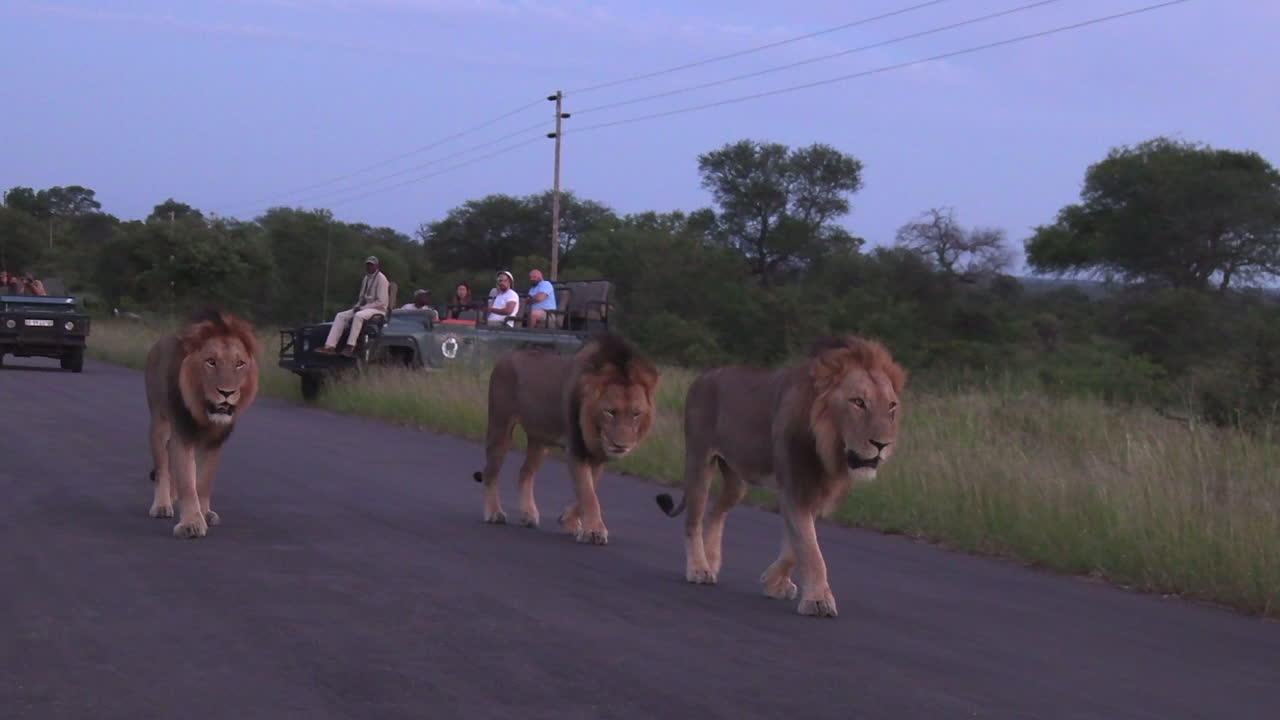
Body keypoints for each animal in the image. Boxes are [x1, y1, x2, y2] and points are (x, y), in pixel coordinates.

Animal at [144, 305, 261, 539]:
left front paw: (204, 513)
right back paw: (162, 505)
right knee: (162, 468)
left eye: (239, 364)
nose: (227, 393)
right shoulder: (183, 435)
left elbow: (204, 481)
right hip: (160, 423)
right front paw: (191, 523)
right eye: (211, 361)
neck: (205, 413)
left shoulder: (215, 442)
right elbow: (188, 483)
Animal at [472, 332, 660, 545]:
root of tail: (506, 356)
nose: (621, 446)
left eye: (636, 414)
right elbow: (589, 494)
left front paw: (567, 521)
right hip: (500, 428)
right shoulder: (576, 449)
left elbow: (590, 490)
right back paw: (494, 513)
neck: (596, 431)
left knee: (525, 472)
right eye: (610, 412)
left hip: (539, 440)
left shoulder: (597, 456)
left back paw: (528, 514)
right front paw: (594, 531)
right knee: (490, 472)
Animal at [655, 335, 906, 617]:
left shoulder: (816, 491)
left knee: (716, 510)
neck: (830, 447)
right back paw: (699, 568)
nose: (882, 445)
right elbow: (810, 548)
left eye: (891, 406)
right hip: (699, 462)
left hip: (736, 479)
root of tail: (701, 377)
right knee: (693, 520)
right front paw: (818, 601)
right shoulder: (795, 488)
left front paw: (774, 582)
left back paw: (712, 560)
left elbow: (796, 544)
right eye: (858, 402)